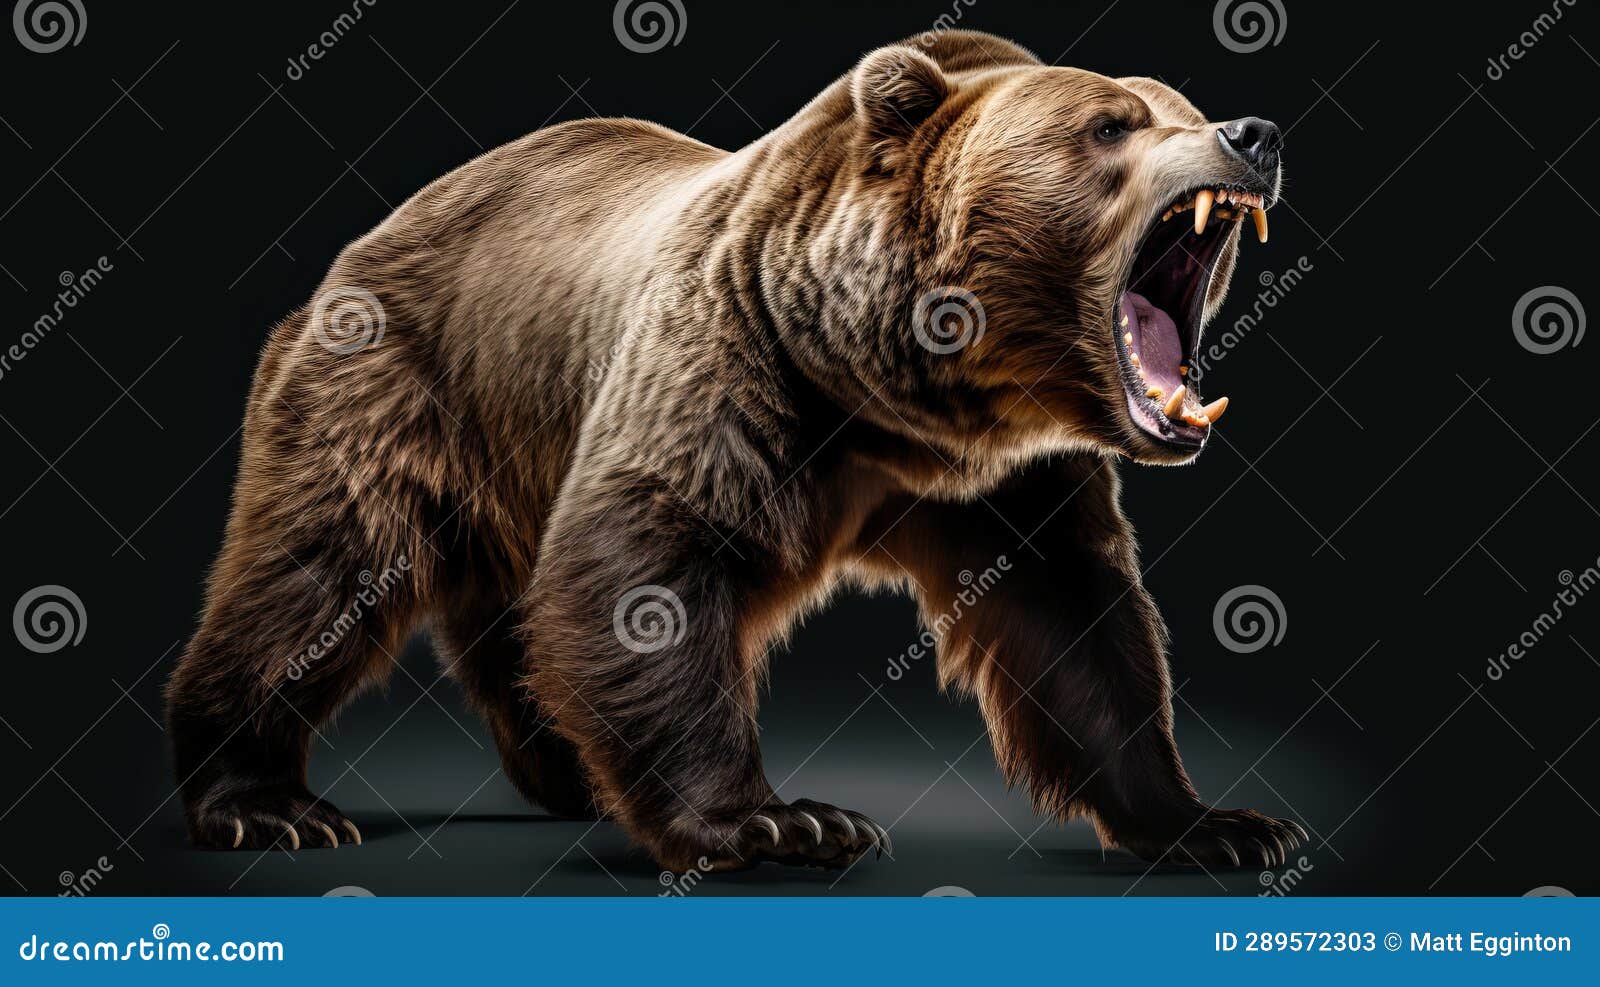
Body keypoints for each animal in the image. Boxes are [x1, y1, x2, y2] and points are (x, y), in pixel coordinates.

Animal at [164, 29, 1305, 873]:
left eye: (1179, 102)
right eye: (1111, 123)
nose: (1252, 131)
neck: (899, 403)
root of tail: (372, 236)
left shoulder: (1011, 478)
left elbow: (1077, 620)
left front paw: (1220, 824)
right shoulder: (733, 365)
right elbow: (648, 568)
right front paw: (781, 819)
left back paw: (570, 771)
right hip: (394, 383)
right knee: (315, 573)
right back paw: (264, 800)